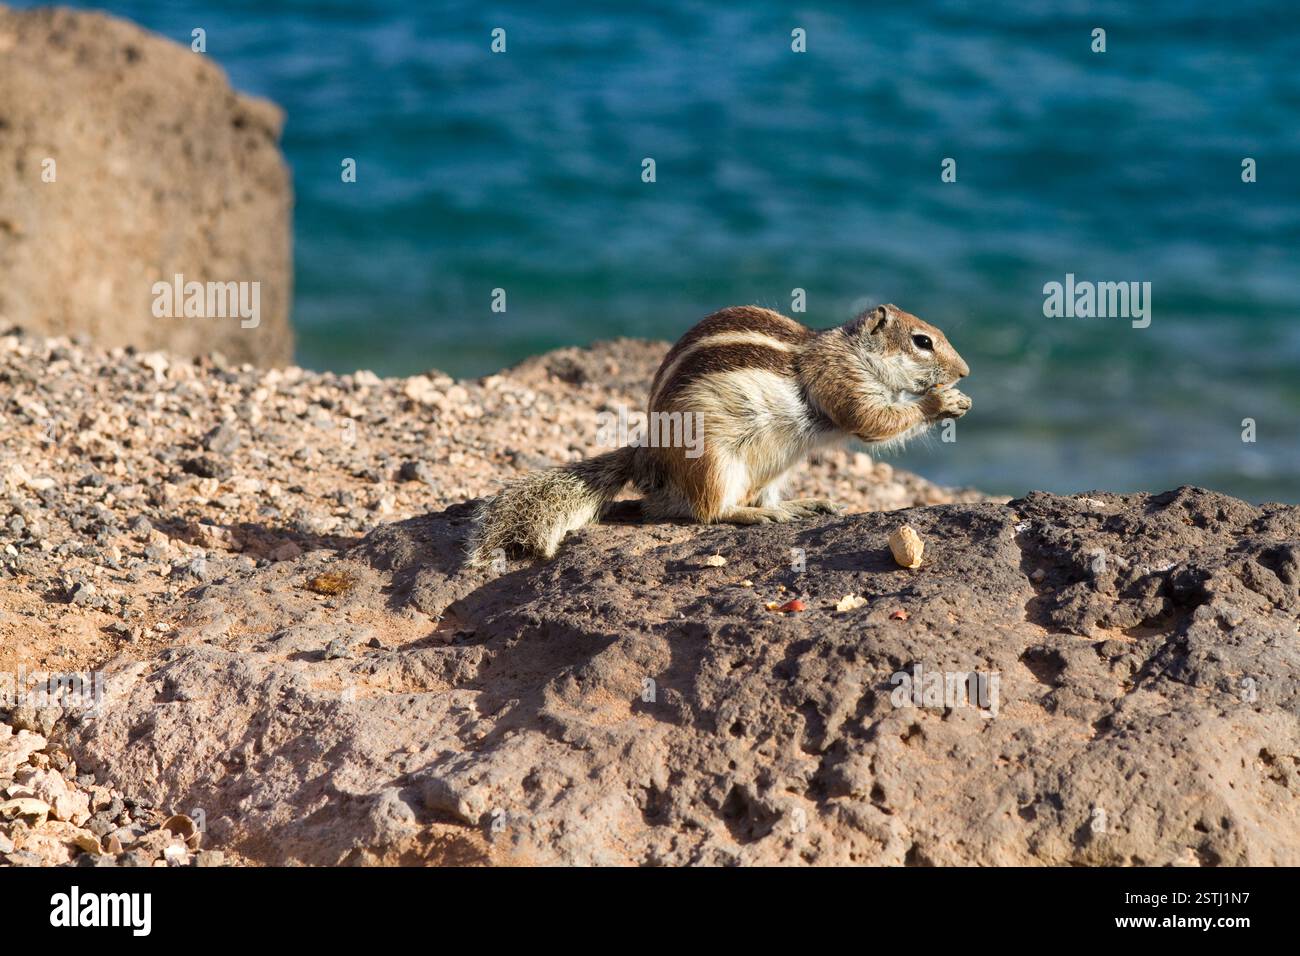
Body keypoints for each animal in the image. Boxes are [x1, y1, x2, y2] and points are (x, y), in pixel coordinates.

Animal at [467, 303, 971, 565]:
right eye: (922, 342)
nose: (965, 371)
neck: (852, 351)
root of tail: (649, 457)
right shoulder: (843, 381)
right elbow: (871, 420)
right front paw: (942, 402)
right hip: (714, 461)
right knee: (710, 512)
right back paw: (755, 515)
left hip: (774, 468)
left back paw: (800, 504)